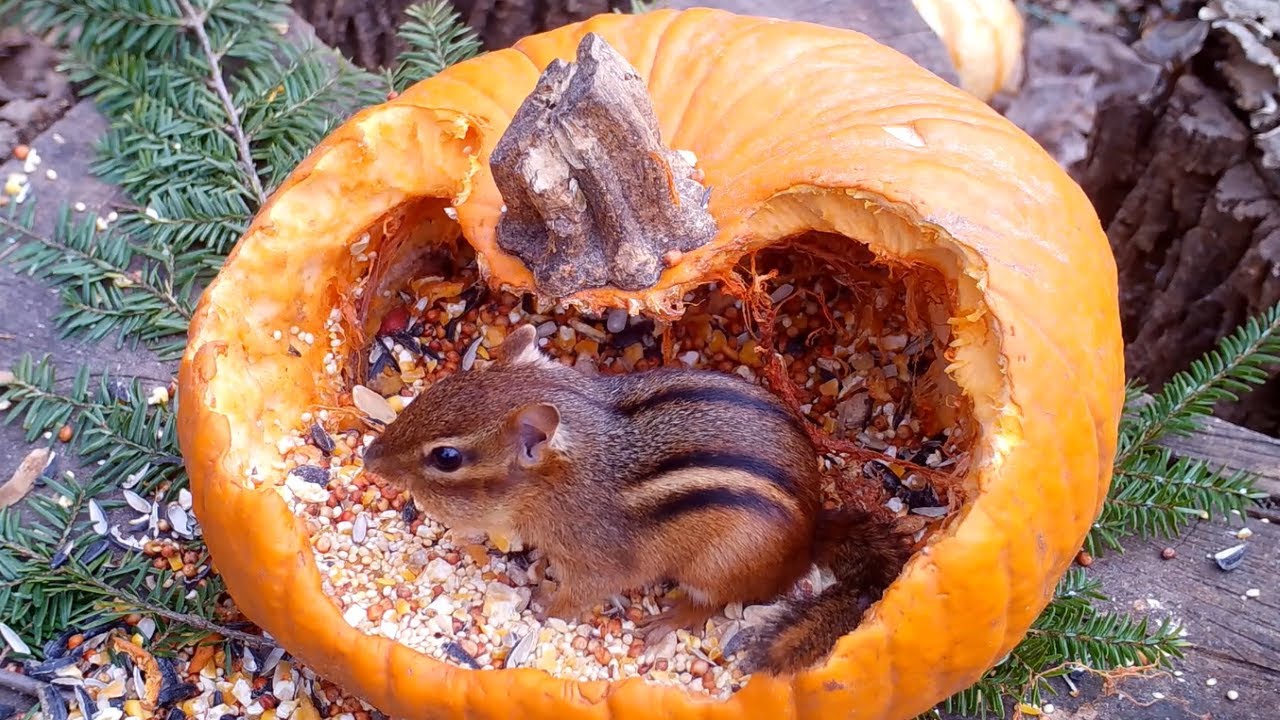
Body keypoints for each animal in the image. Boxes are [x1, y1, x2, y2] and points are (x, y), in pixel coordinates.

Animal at [361, 322, 913, 674]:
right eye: (442, 387)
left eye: (446, 457)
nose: (370, 457)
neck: (565, 480)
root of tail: (813, 533)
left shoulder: (594, 562)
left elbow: (577, 597)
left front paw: (543, 605)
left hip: (720, 562)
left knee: (717, 601)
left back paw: (668, 619)